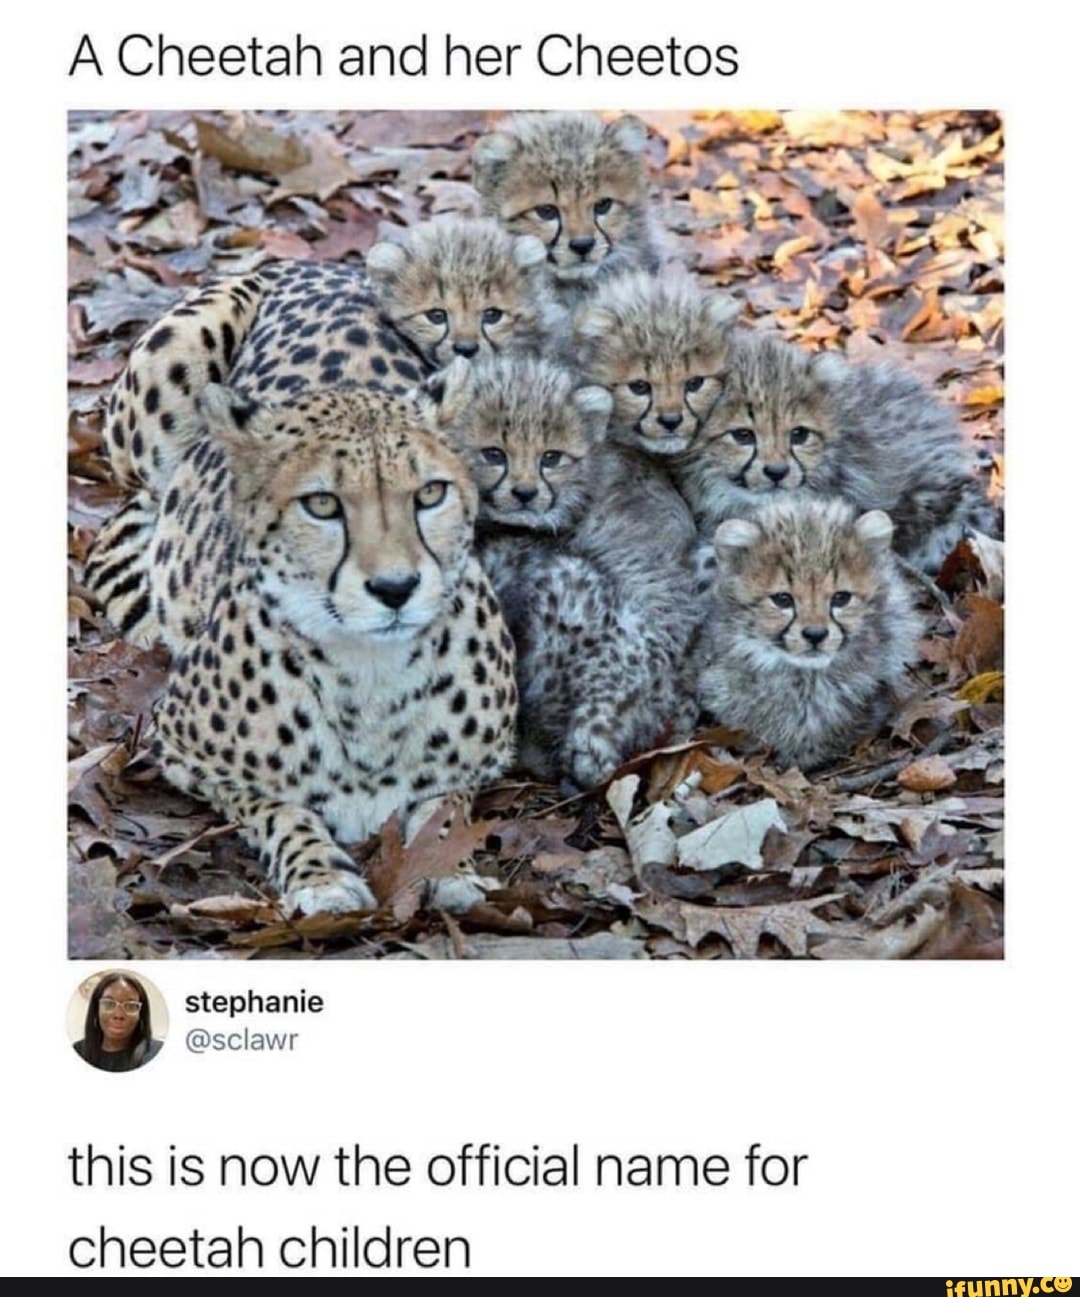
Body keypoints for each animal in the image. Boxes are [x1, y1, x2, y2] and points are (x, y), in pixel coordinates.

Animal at [143, 382, 517, 916]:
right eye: (322, 504)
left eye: (430, 494)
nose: (395, 588)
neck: (372, 671)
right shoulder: (181, 751)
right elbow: (279, 807)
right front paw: (321, 876)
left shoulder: (479, 764)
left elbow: (443, 812)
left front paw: (449, 869)